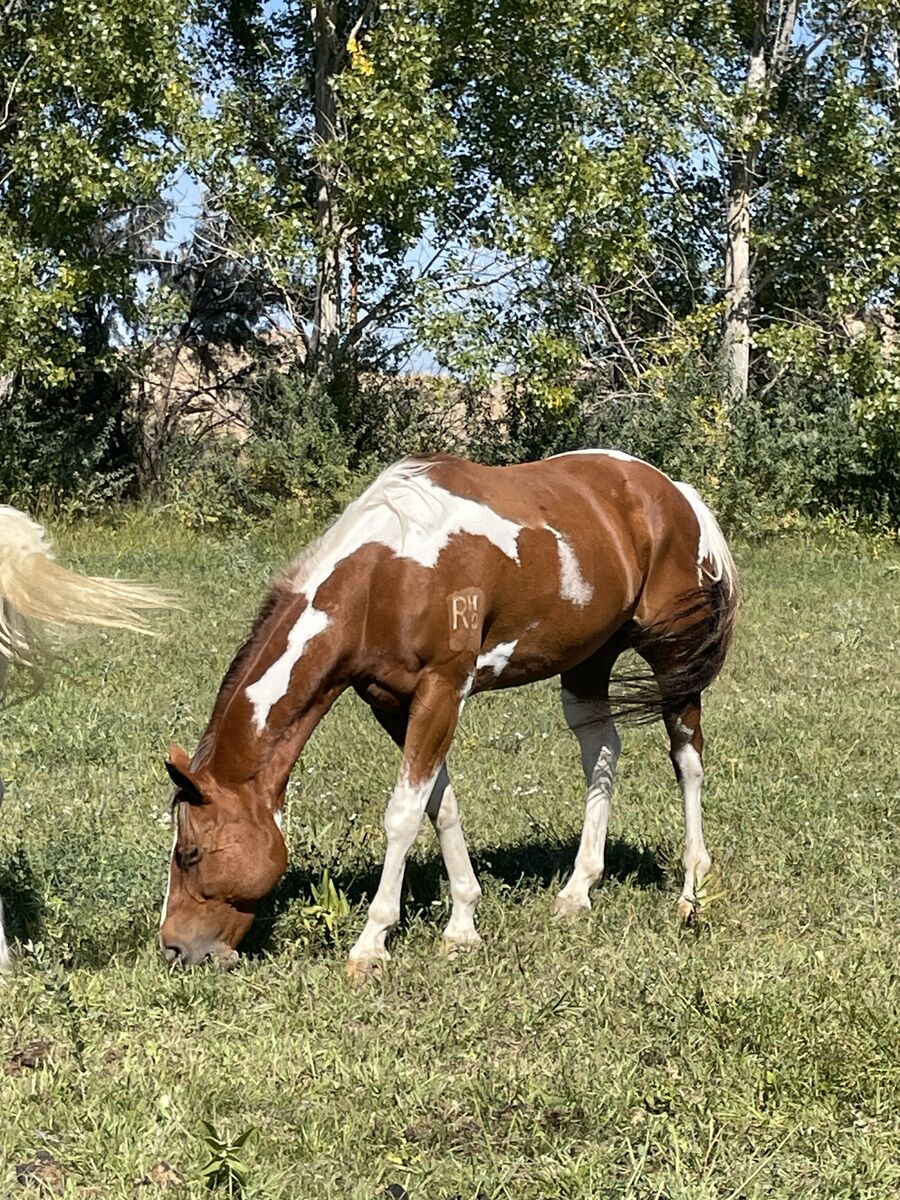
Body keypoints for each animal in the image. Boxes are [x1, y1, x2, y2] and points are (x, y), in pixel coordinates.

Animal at [160, 449, 738, 980]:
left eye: (190, 853)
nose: (174, 949)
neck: (387, 575)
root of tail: (675, 493)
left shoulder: (442, 690)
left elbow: (402, 815)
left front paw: (372, 943)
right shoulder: (392, 703)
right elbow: (441, 805)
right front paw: (462, 926)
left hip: (674, 656)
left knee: (687, 758)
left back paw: (691, 892)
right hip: (588, 661)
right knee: (601, 751)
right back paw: (578, 890)